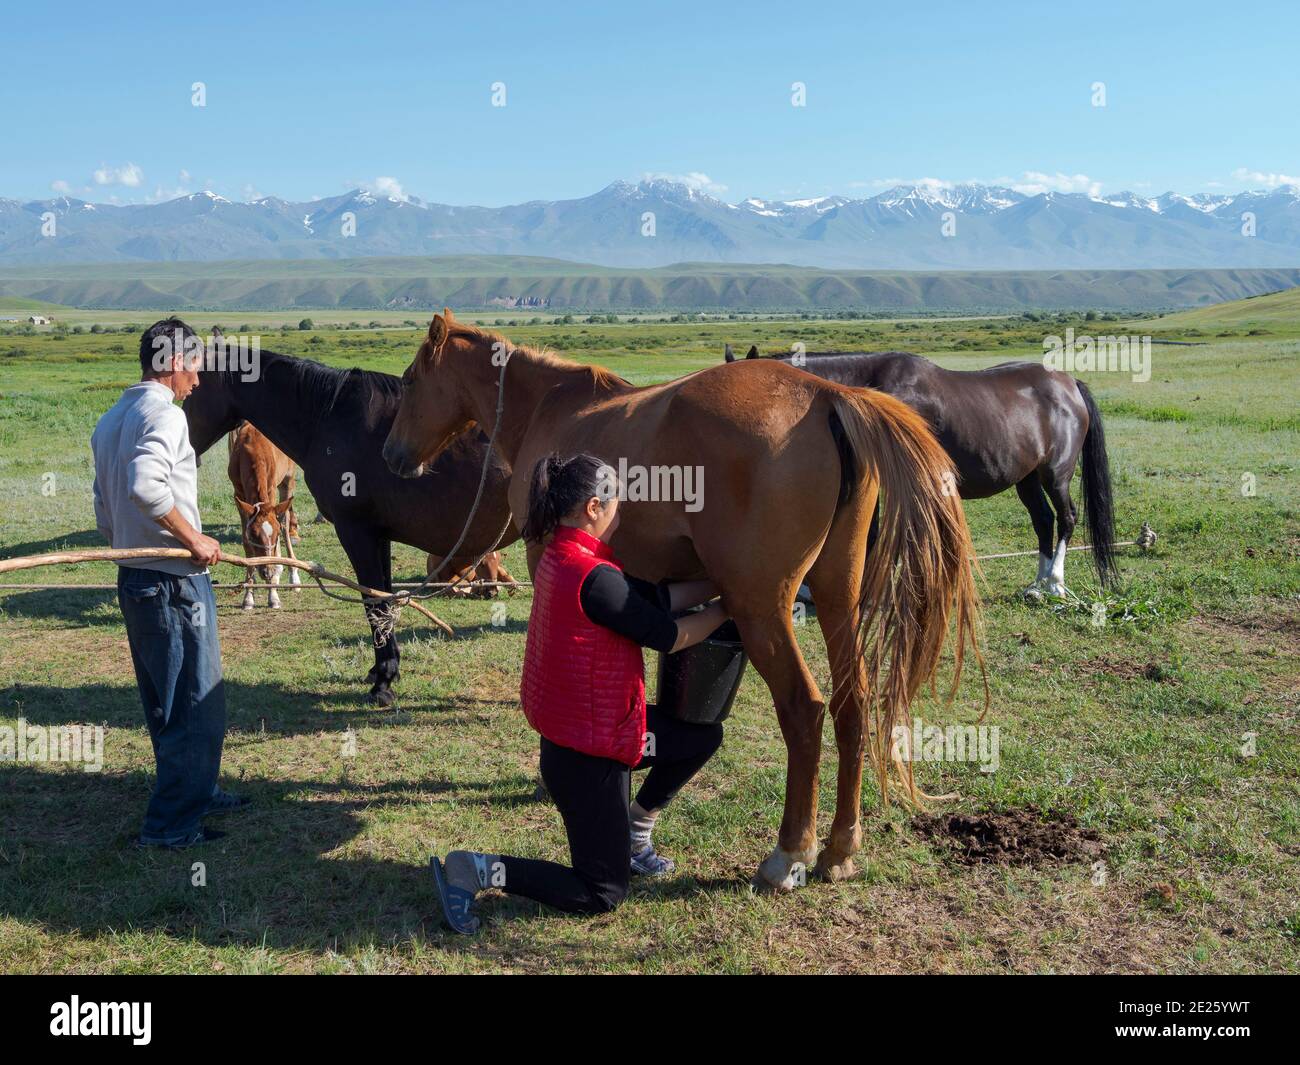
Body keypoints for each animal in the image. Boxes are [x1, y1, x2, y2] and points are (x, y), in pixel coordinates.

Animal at [228, 420, 301, 610]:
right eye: (254, 534)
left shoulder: (272, 490)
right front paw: (248, 598)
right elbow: (247, 546)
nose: (266, 571)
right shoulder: (239, 496)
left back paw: (293, 576)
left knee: (285, 522)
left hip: (287, 481)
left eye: (274, 536)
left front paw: (273, 596)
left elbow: (281, 528)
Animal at [383, 310, 982, 891]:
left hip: (763, 610)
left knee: (804, 710)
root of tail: (827, 397)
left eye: (410, 380)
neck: (551, 408)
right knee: (850, 705)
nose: (394, 455)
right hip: (839, 599)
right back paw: (839, 849)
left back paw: (789, 854)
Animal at [724, 344, 1115, 595]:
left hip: (1055, 474)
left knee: (1066, 517)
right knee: (1043, 520)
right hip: (1027, 479)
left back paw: (1056, 583)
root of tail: (1070, 385)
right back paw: (1037, 584)